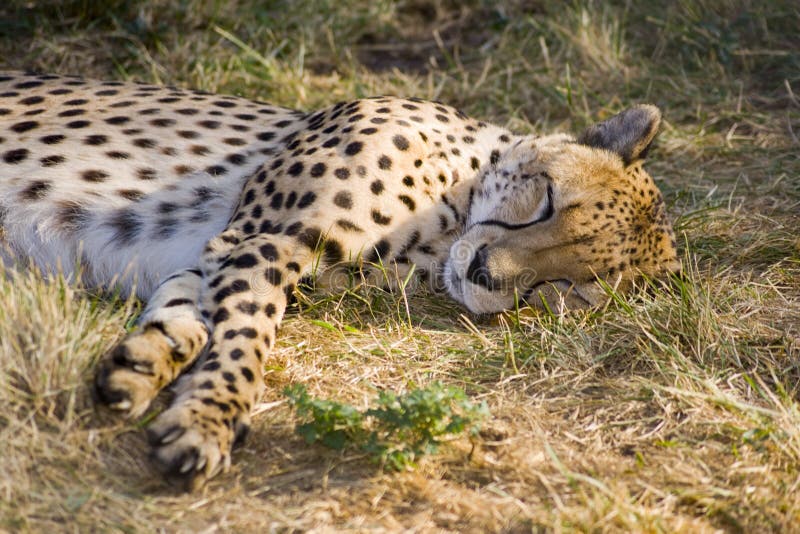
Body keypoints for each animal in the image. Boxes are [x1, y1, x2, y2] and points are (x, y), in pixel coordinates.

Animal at [0, 71, 679, 490]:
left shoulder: (222, 248)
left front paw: (145, 366)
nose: (485, 273)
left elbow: (187, 315)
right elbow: (246, 339)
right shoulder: (264, 239)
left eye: (566, 286)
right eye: (546, 200)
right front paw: (210, 420)